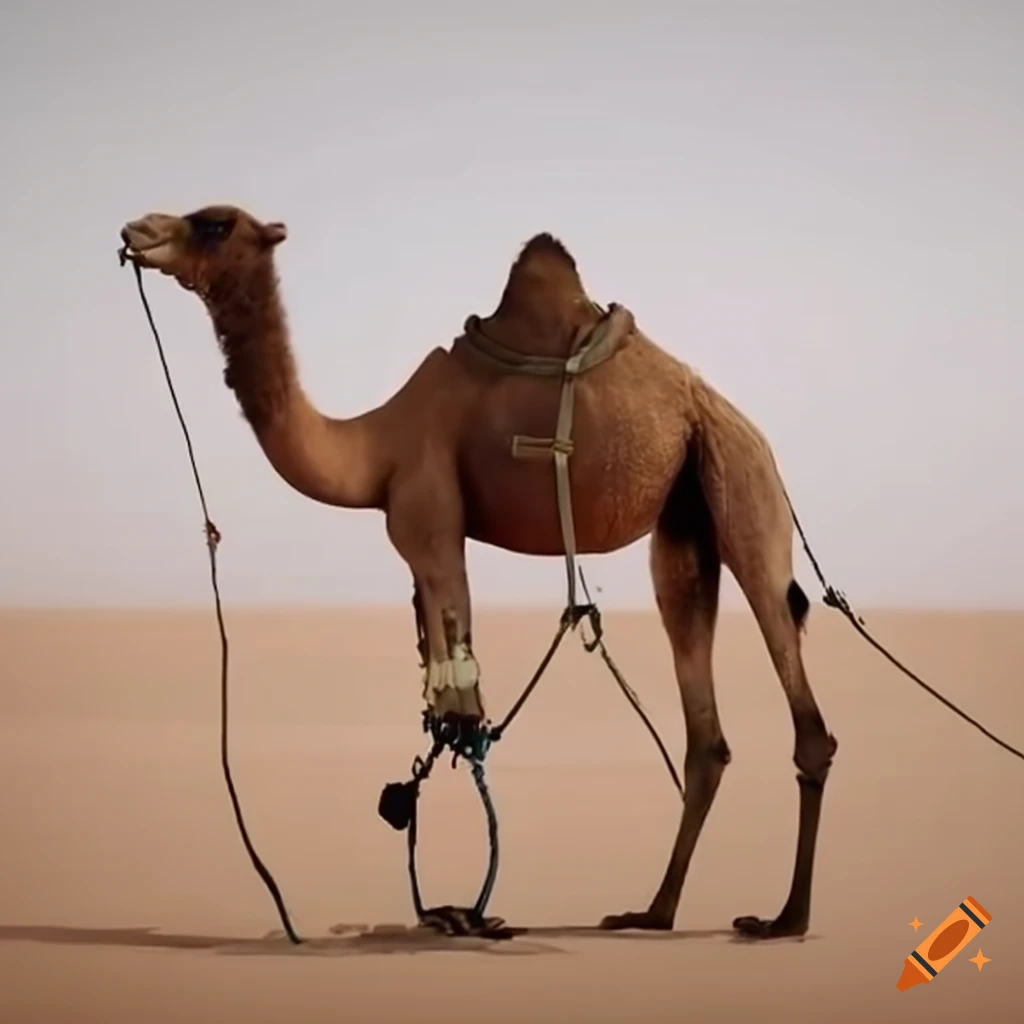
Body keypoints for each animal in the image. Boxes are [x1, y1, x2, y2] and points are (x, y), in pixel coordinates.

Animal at [119, 203, 838, 940]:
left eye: (214, 224)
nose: (137, 231)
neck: (371, 448)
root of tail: (738, 426)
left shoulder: (428, 523)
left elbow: (463, 721)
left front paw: (471, 912)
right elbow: (446, 713)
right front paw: (457, 908)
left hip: (743, 483)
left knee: (798, 693)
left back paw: (784, 918)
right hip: (684, 518)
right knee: (705, 732)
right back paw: (652, 912)